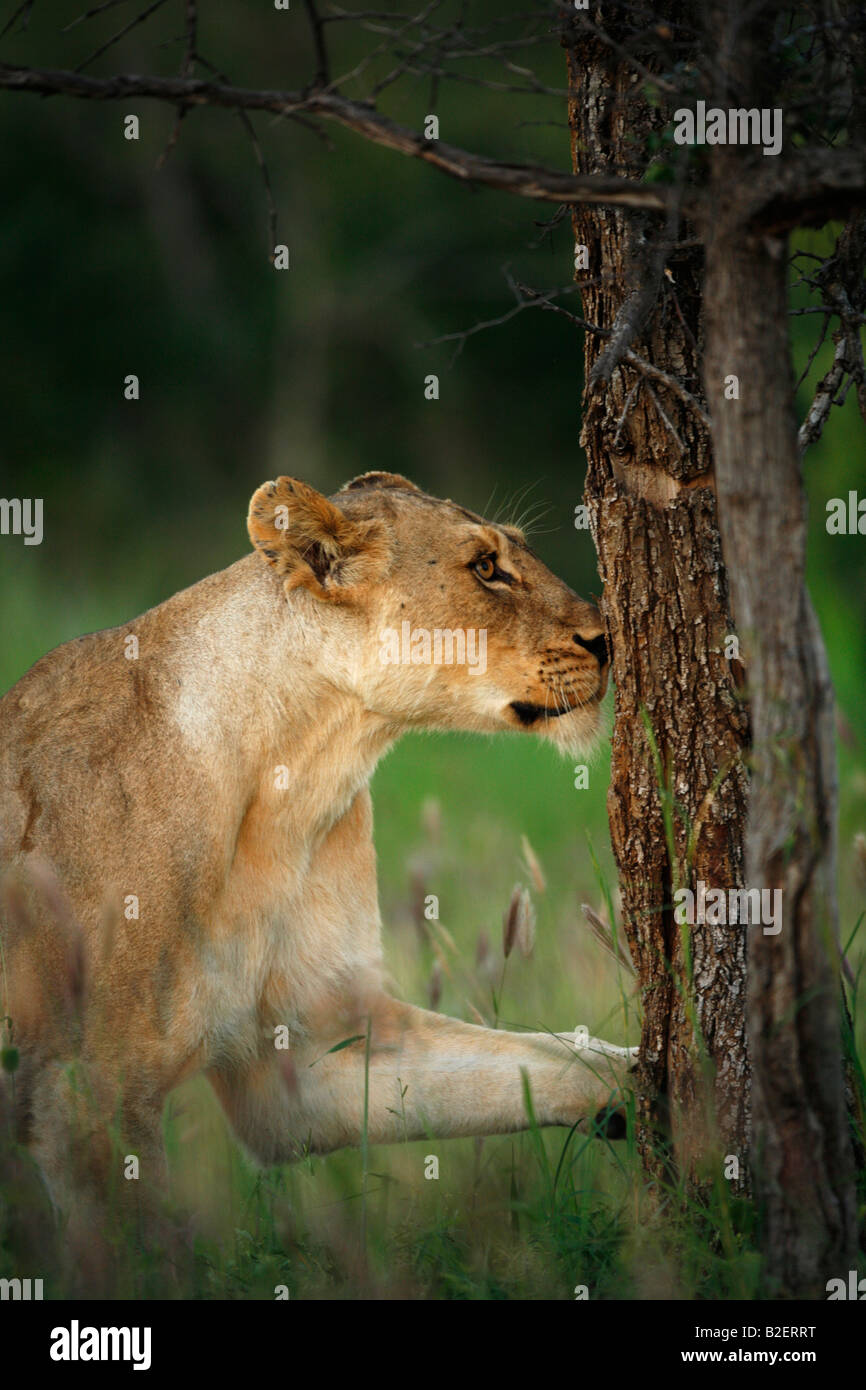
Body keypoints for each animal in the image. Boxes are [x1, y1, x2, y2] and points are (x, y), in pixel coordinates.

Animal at [0, 472, 635, 1223]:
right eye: (485, 567)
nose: (607, 640)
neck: (294, 781)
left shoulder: (309, 1052)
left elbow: (555, 1059)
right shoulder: (81, 1088)